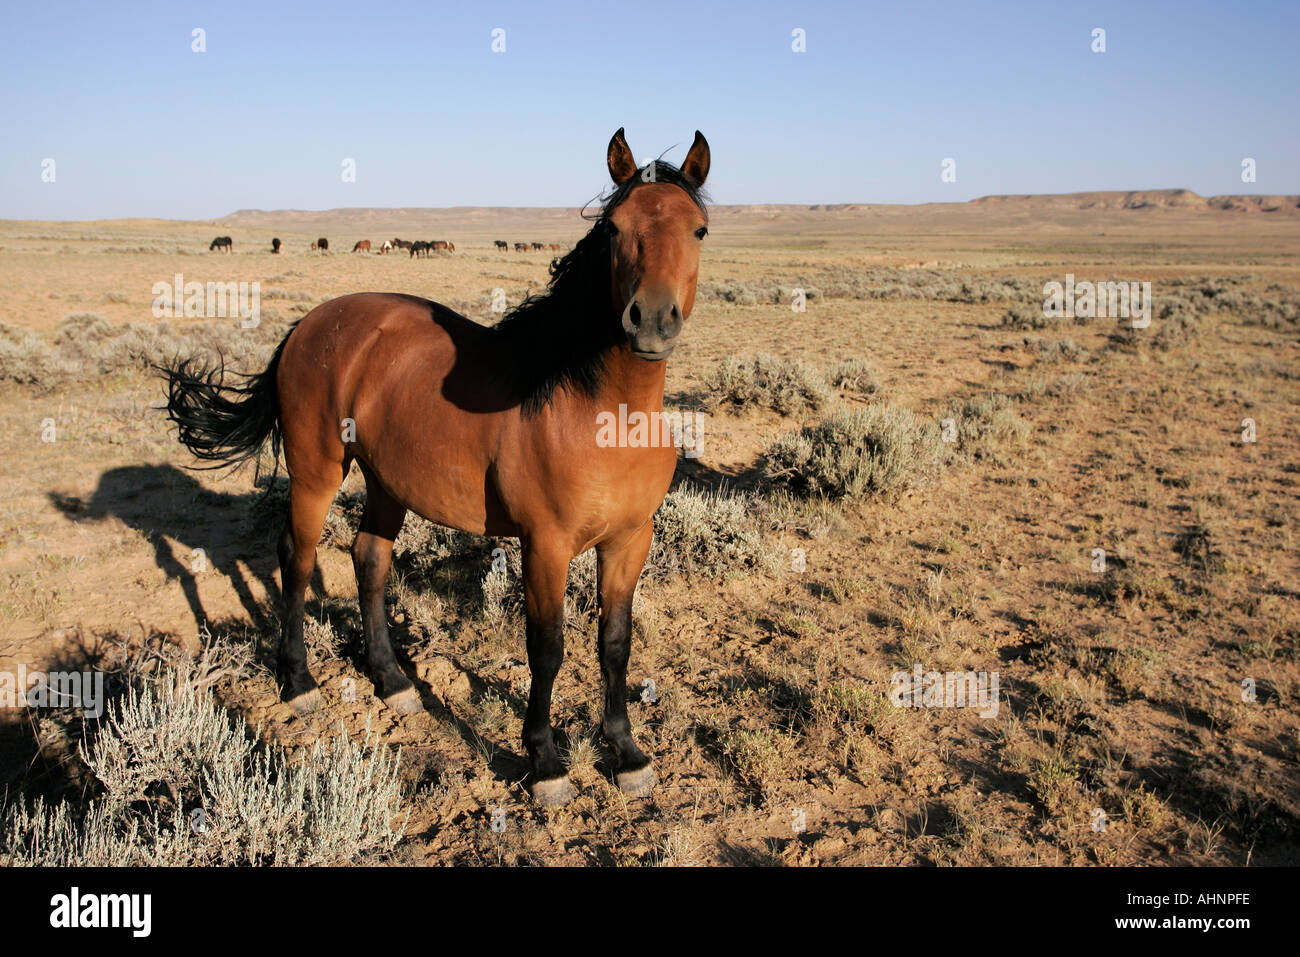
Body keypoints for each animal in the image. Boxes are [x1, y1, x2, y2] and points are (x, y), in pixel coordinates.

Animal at [159, 128, 710, 806]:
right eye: (613, 228)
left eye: (698, 230)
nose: (651, 319)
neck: (599, 411)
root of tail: (308, 325)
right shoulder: (546, 545)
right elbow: (547, 648)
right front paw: (545, 762)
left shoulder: (631, 541)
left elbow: (614, 643)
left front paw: (627, 753)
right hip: (317, 473)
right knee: (298, 557)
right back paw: (298, 682)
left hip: (386, 481)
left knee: (368, 559)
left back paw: (393, 681)